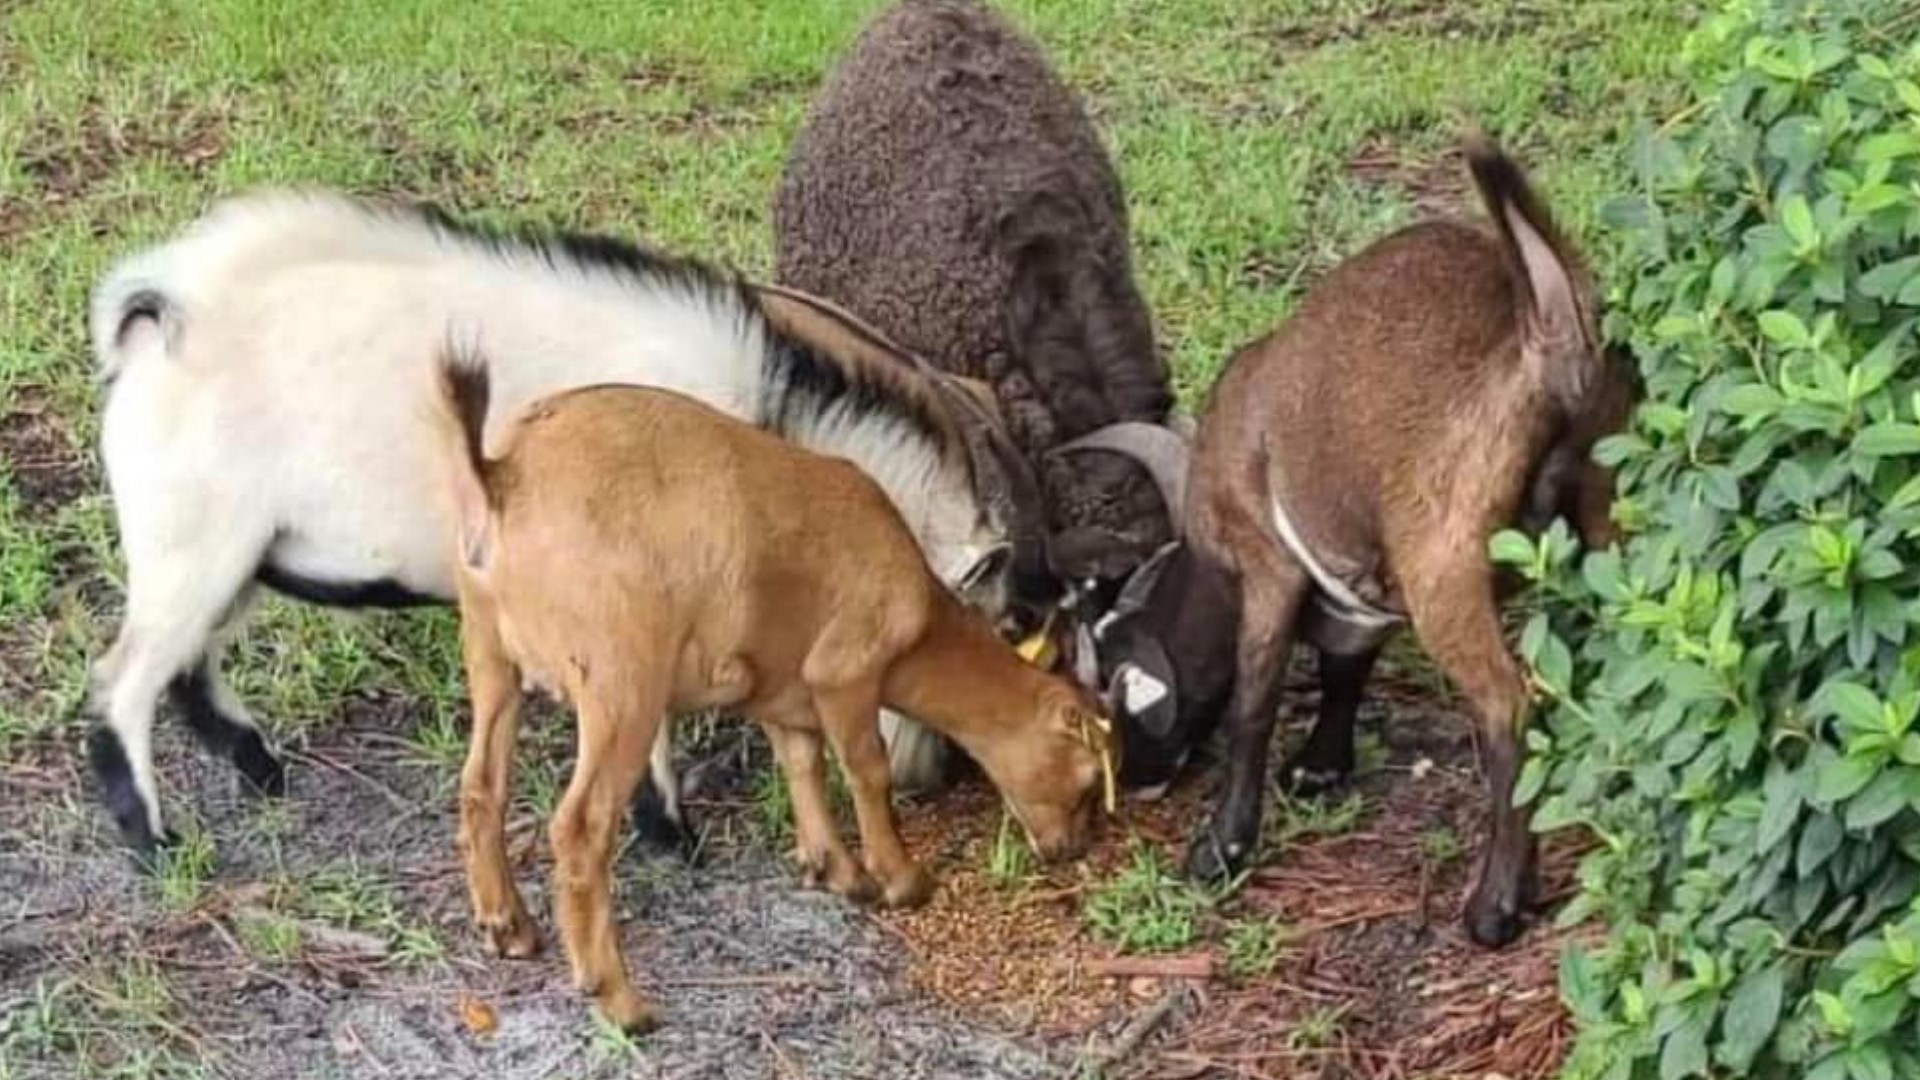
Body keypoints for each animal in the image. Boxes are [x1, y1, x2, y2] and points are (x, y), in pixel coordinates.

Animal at [84, 190, 1048, 861]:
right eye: (979, 626)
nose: (931, 781)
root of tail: (161, 318)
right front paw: (672, 836)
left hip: (245, 557)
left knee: (187, 668)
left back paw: (261, 769)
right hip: (194, 544)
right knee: (122, 680)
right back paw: (155, 840)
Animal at [435, 355, 1113, 1032]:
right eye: (1086, 780)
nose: (1069, 848)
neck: (919, 612)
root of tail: (503, 478)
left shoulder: (784, 694)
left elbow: (802, 766)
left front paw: (836, 870)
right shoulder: (845, 669)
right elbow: (866, 769)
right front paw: (900, 880)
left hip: (488, 650)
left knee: (481, 785)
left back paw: (508, 927)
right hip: (620, 679)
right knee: (580, 825)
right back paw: (621, 1001)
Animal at [1166, 136, 1635, 948]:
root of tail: (1550, 342)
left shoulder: (1267, 568)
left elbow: (1254, 703)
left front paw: (1224, 844)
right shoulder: (1358, 594)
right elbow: (1344, 670)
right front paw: (1321, 765)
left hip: (1443, 570)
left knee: (1512, 713)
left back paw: (1496, 904)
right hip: (1610, 528)